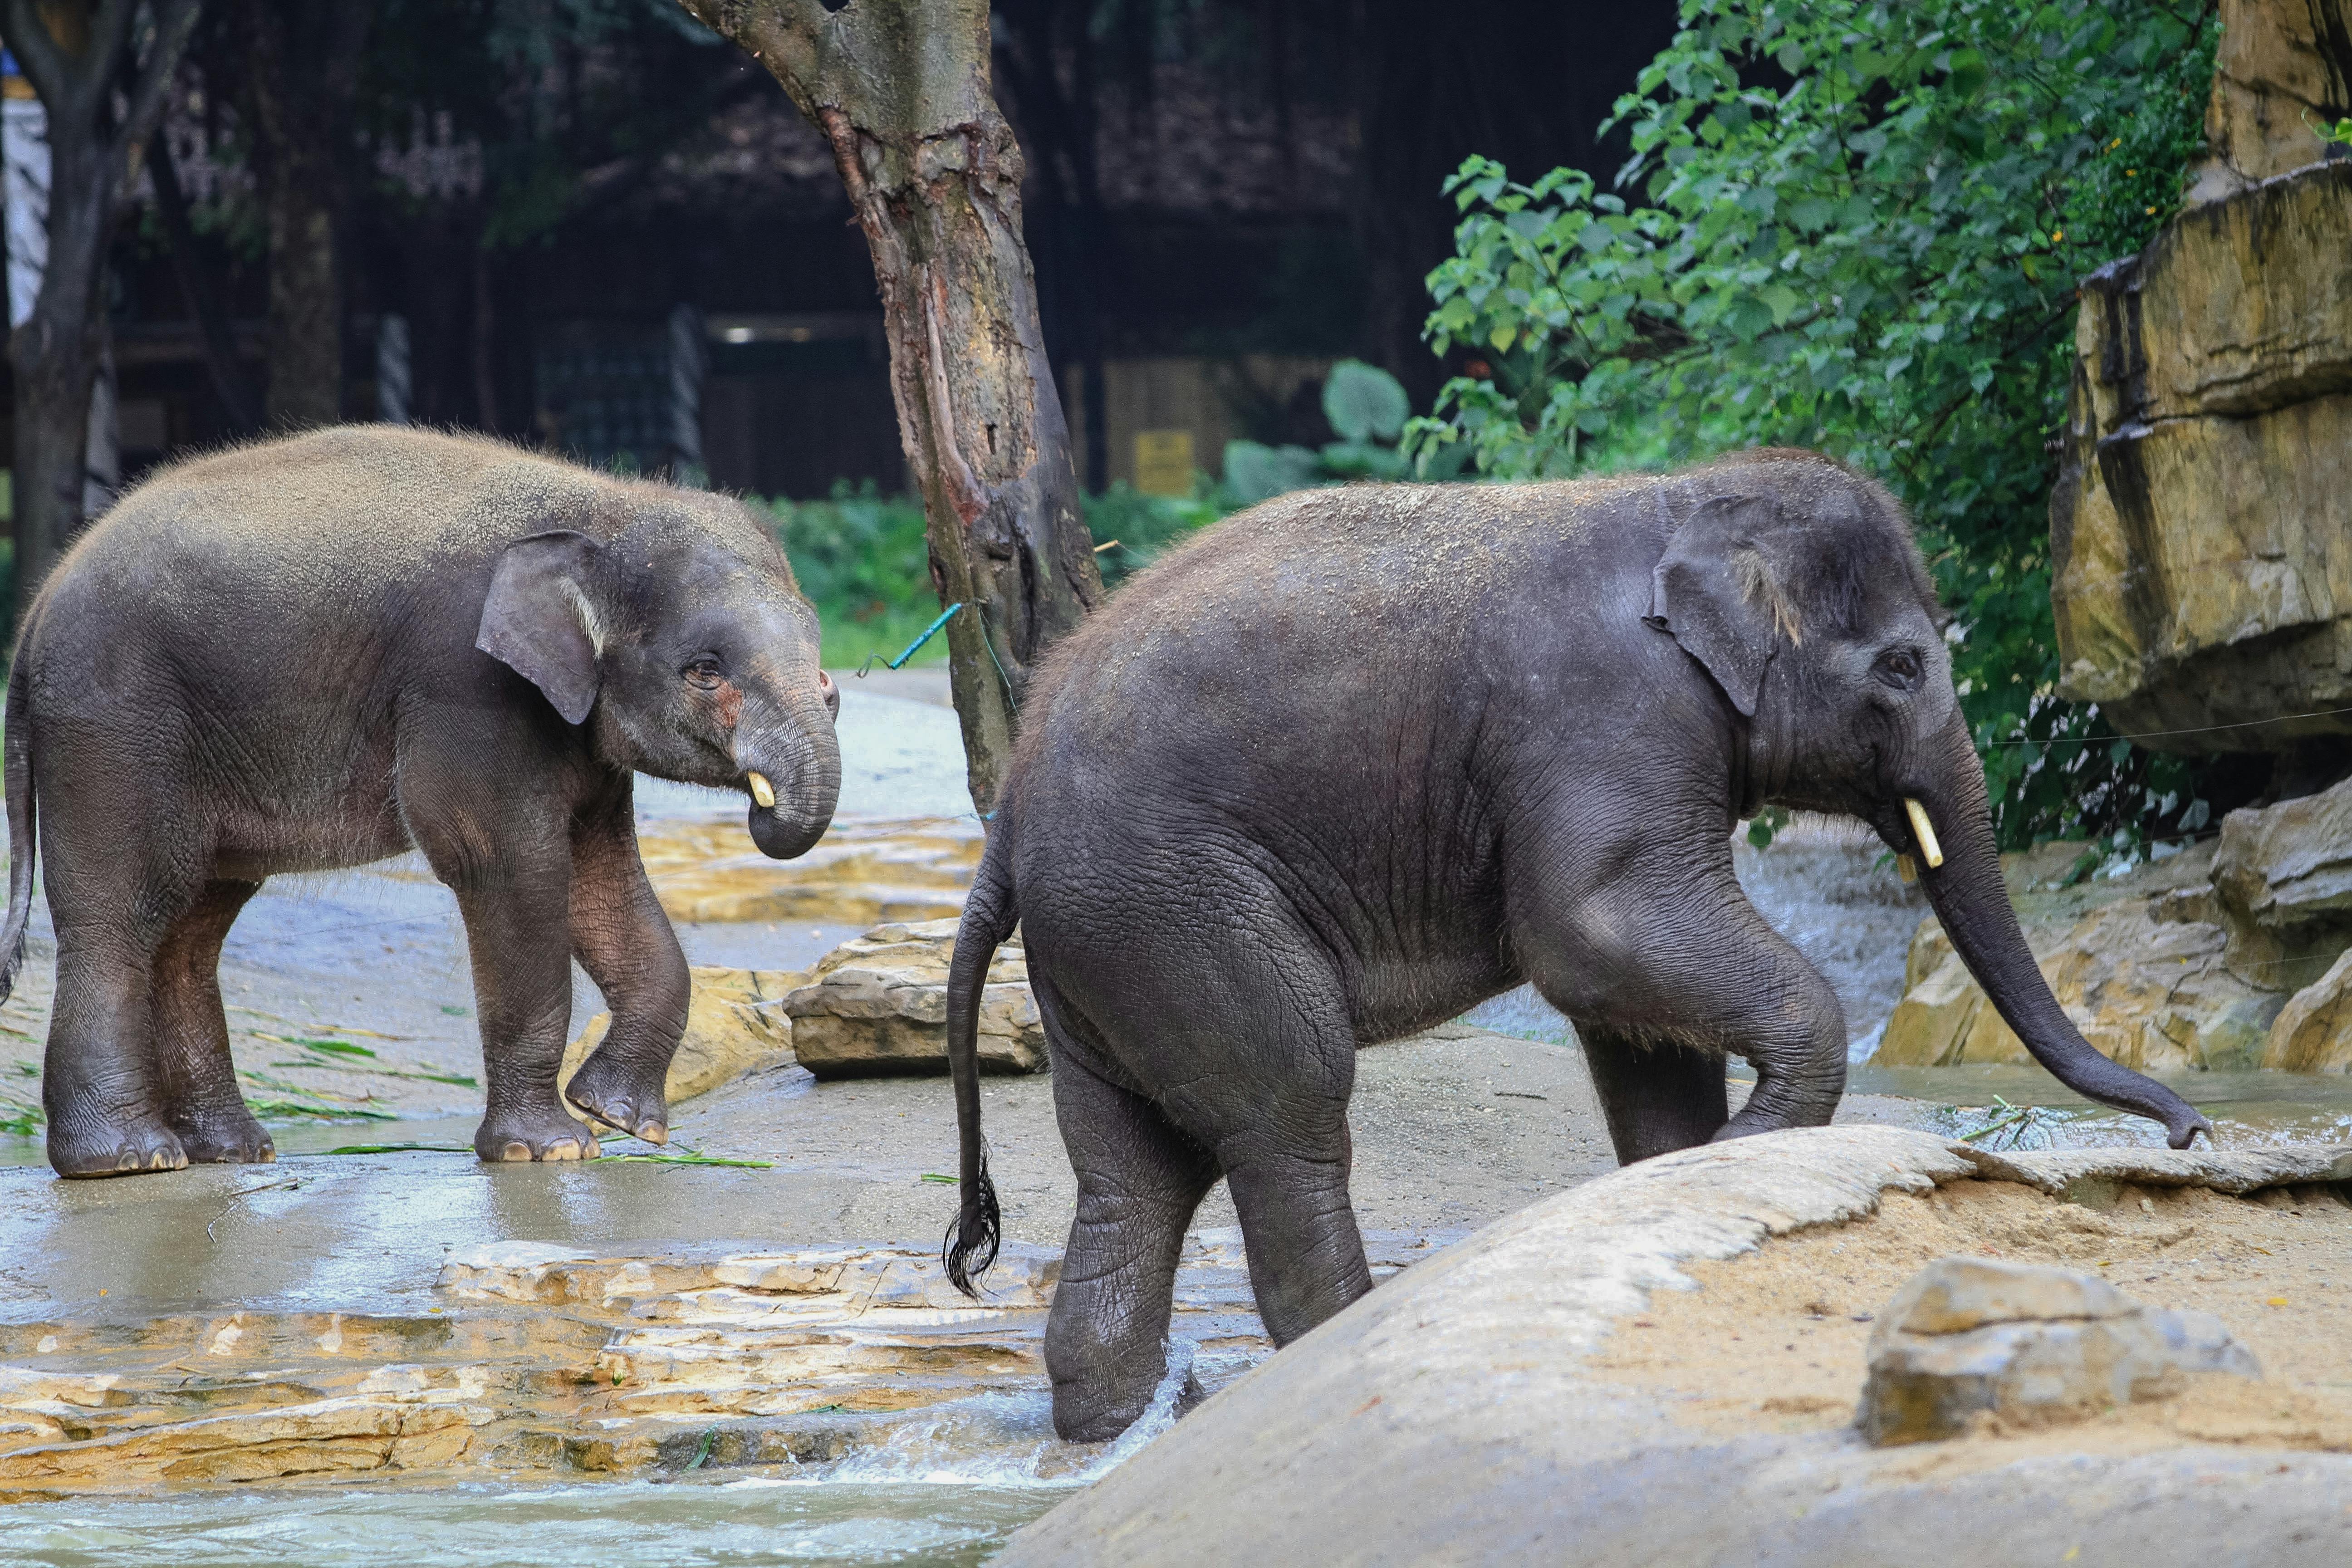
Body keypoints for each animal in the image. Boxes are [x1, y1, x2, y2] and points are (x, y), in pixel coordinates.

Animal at [0, 426, 840, 1177]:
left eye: (822, 661)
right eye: (705, 670)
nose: (762, 807)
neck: (604, 503)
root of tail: (36, 607)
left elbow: (602, 877)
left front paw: (621, 1120)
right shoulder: (466, 682)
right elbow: (506, 862)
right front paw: (553, 1150)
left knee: (196, 922)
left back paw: (231, 1152)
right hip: (113, 726)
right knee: (125, 910)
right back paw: (127, 1162)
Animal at [938, 448, 2211, 1441]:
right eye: (1901, 665)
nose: (2189, 1132)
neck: (1687, 497)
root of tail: (1010, 817)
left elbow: (1636, 1023)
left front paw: (1685, 1171)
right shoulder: (1612, 713)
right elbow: (1592, 931)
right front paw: (1729, 1156)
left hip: (1106, 939)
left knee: (1134, 1169)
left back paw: (1111, 1425)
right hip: (1177, 902)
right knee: (1287, 1111)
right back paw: (1324, 1337)